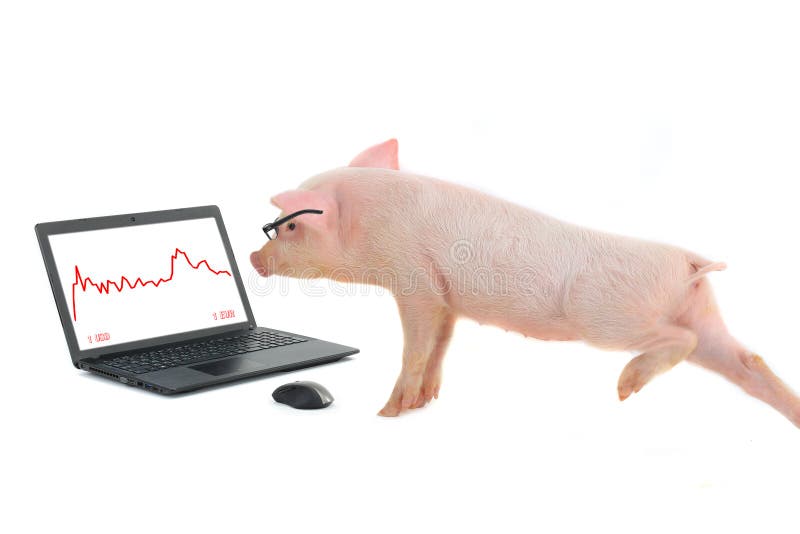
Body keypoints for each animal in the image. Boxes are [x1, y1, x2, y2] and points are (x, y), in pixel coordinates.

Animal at [251, 139, 800, 425]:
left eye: (292, 227)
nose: (254, 258)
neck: (372, 222)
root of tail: (688, 262)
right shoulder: (446, 297)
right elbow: (439, 346)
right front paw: (425, 403)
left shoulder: (416, 281)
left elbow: (416, 345)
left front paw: (387, 414)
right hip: (704, 316)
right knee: (749, 360)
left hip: (610, 316)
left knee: (677, 340)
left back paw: (623, 391)